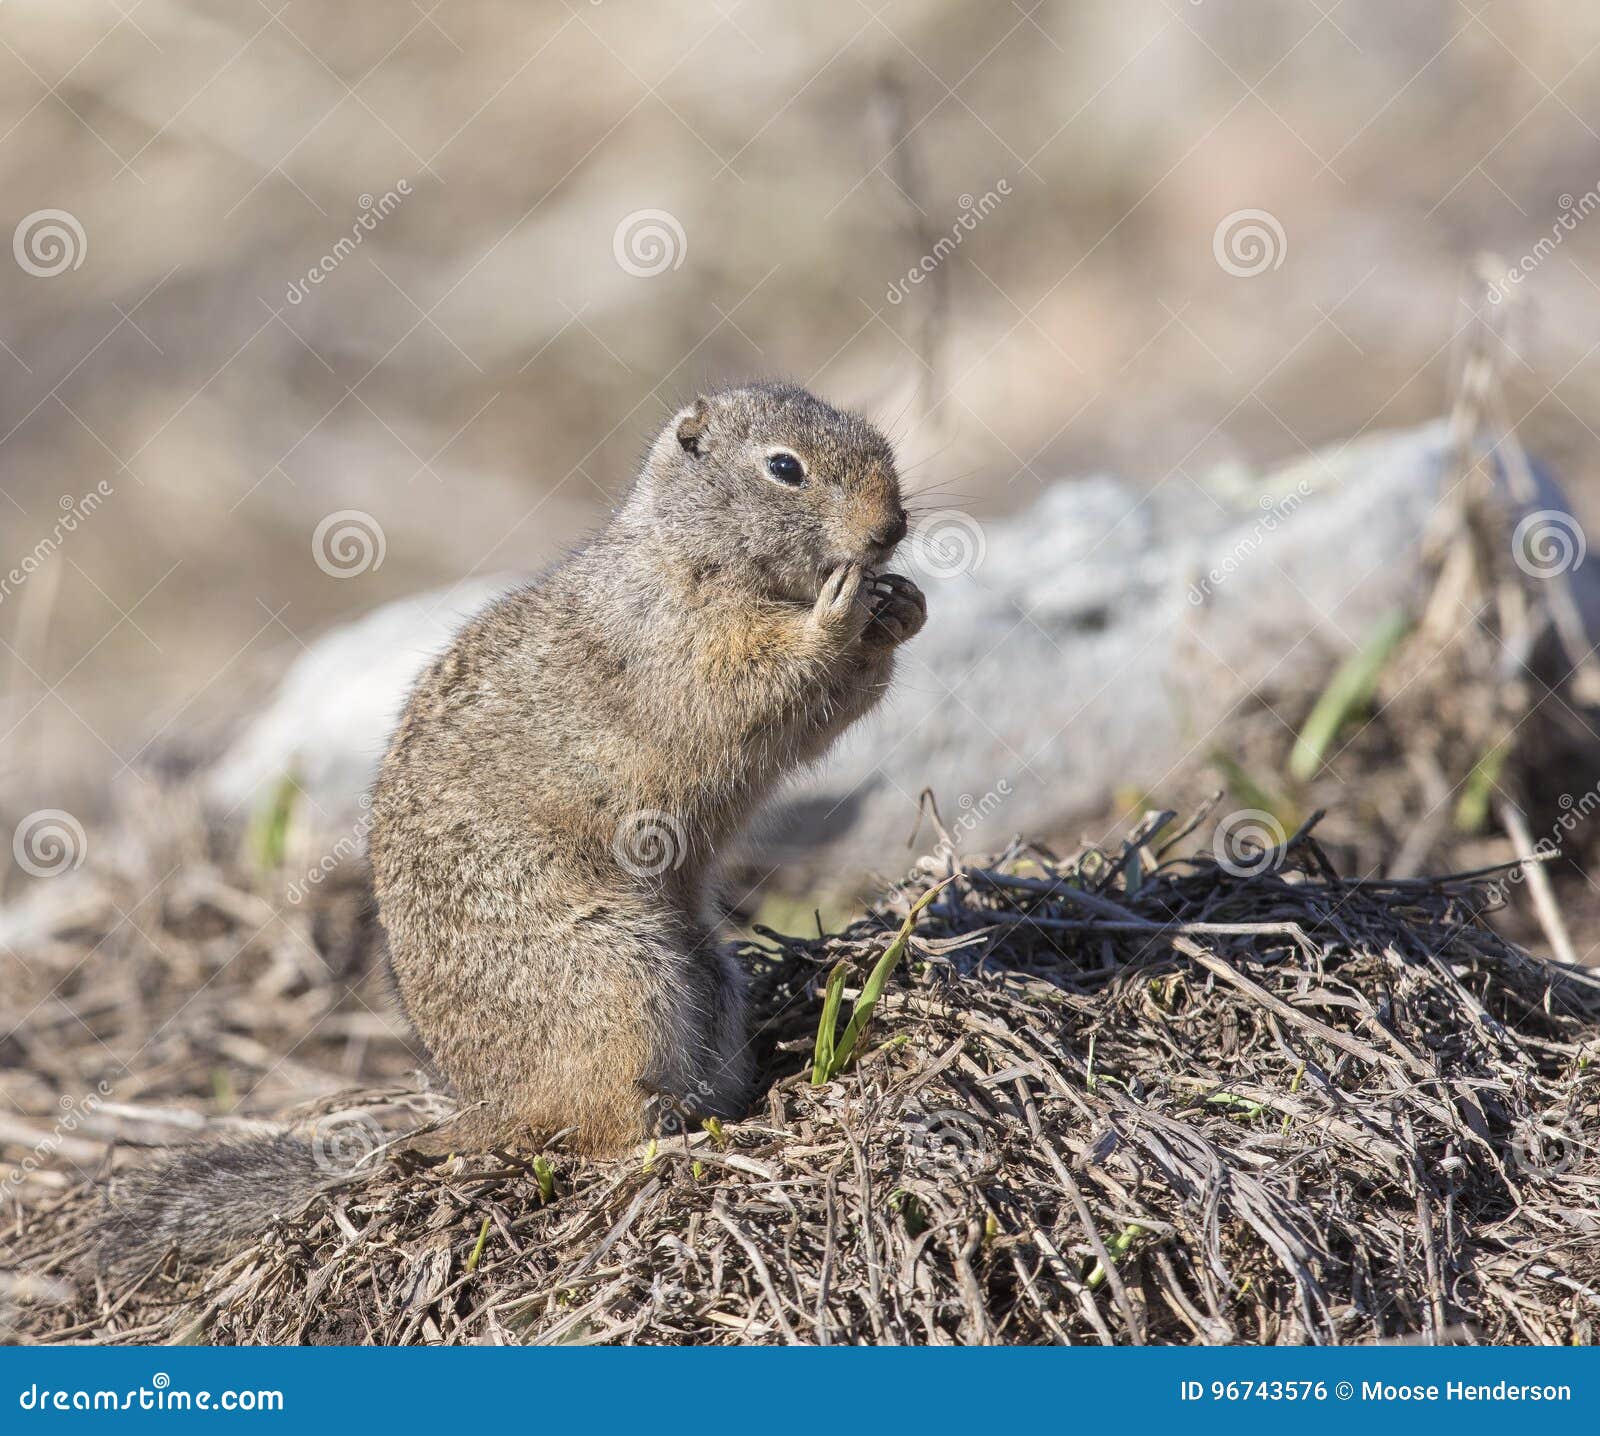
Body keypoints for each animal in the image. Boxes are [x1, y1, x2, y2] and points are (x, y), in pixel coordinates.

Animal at [83, 382, 924, 1274]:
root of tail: (481, 1105)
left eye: (878, 442)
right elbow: (752, 680)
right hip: (614, 981)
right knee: (593, 1129)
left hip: (709, 979)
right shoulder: (680, 640)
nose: (892, 528)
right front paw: (840, 610)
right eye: (785, 468)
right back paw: (672, 1143)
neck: (684, 554)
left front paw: (904, 605)